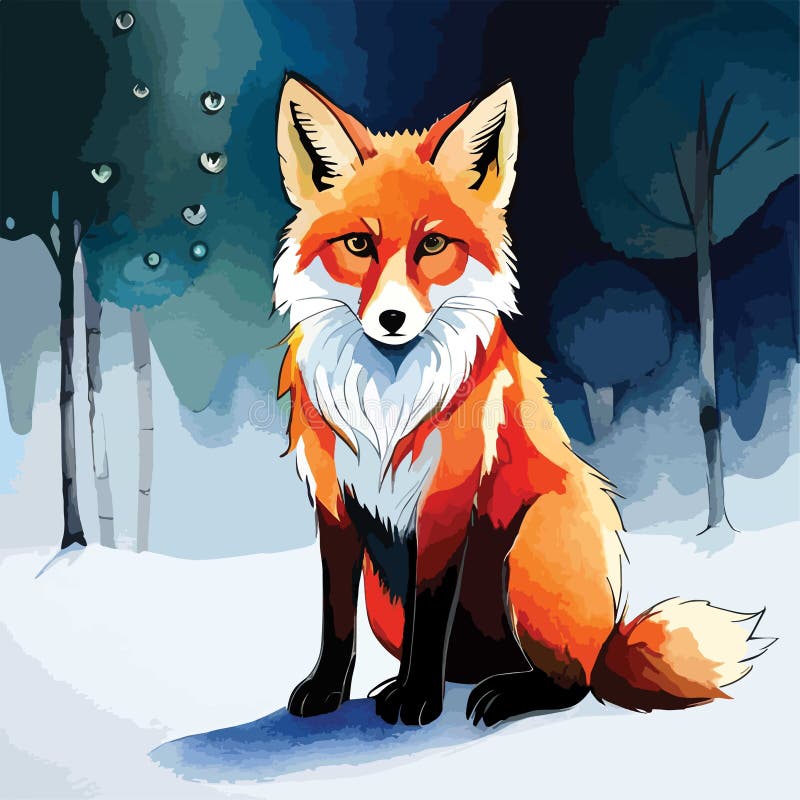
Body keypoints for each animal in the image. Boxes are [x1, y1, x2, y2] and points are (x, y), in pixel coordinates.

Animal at [272, 73, 770, 727]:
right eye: (358, 244)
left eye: (433, 244)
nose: (391, 319)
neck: (388, 399)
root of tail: (609, 641)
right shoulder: (333, 501)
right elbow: (335, 615)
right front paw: (330, 689)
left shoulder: (446, 499)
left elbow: (432, 613)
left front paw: (418, 700)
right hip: (390, 604)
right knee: (461, 659)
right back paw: (418, 684)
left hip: (531, 551)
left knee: (572, 680)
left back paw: (504, 693)